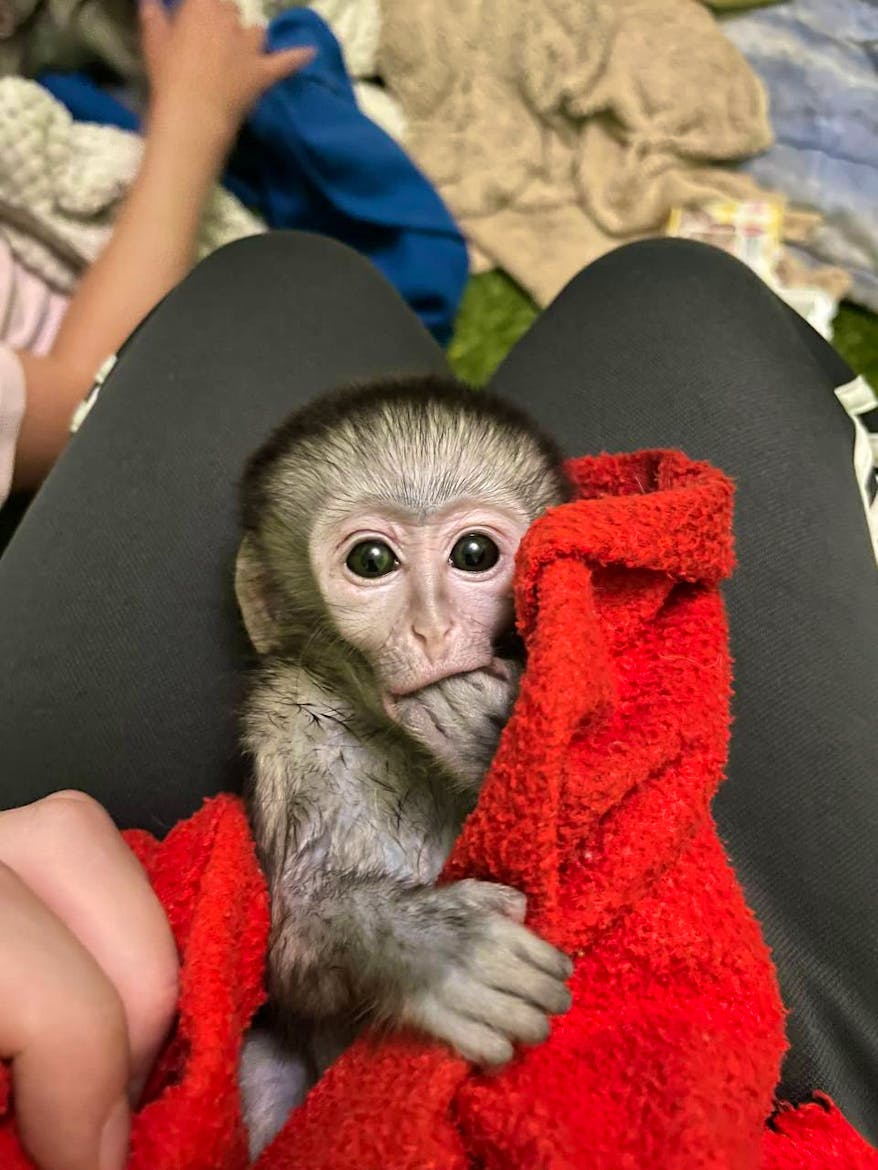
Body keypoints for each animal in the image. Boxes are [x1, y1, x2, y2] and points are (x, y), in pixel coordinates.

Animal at [235, 375, 575, 1156]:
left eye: (475, 552)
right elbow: (293, 946)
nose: (433, 629)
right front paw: (437, 952)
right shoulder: (292, 726)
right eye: (371, 561)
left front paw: (483, 733)